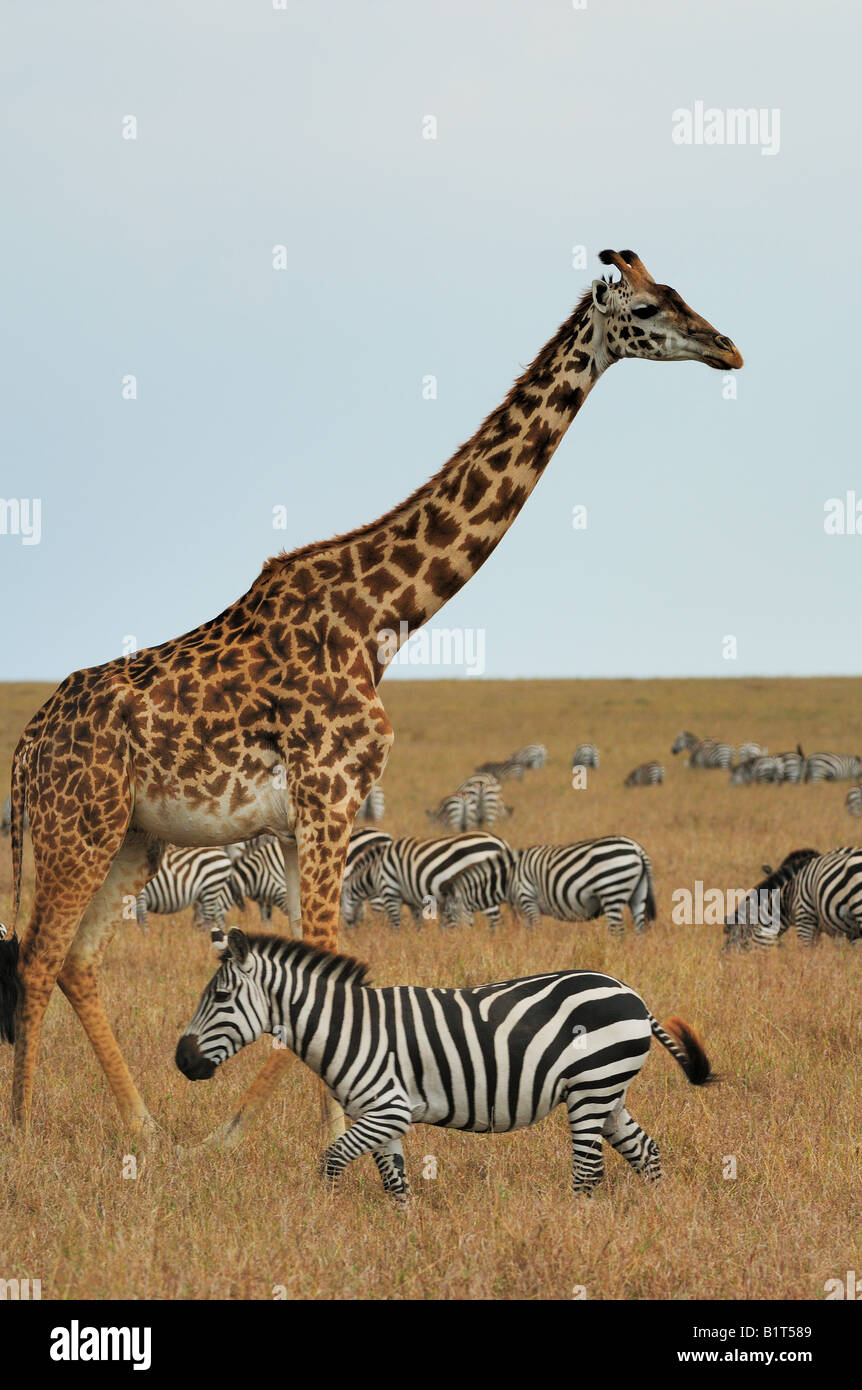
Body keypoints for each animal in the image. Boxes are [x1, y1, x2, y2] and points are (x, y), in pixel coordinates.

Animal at [177, 928, 716, 1202]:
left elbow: (331, 1159)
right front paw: (402, 1235)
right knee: (645, 1150)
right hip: (606, 1092)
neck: (348, 1028)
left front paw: (323, 1218)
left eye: (220, 997)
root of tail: (631, 994)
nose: (182, 1061)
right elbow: (395, 1182)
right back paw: (657, 1217)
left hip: (592, 1088)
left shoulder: (389, 1108)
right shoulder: (378, 1116)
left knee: (588, 1172)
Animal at [364, 832, 511, 929]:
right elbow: (422, 923)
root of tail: (502, 843)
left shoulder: (390, 890)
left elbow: (396, 924)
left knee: (493, 918)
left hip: (483, 887)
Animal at [508, 837, 656, 936]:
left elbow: (536, 928)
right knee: (640, 927)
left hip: (611, 891)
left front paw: (536, 945)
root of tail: (636, 848)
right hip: (639, 892)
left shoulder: (527, 898)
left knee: (618, 930)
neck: (511, 874)